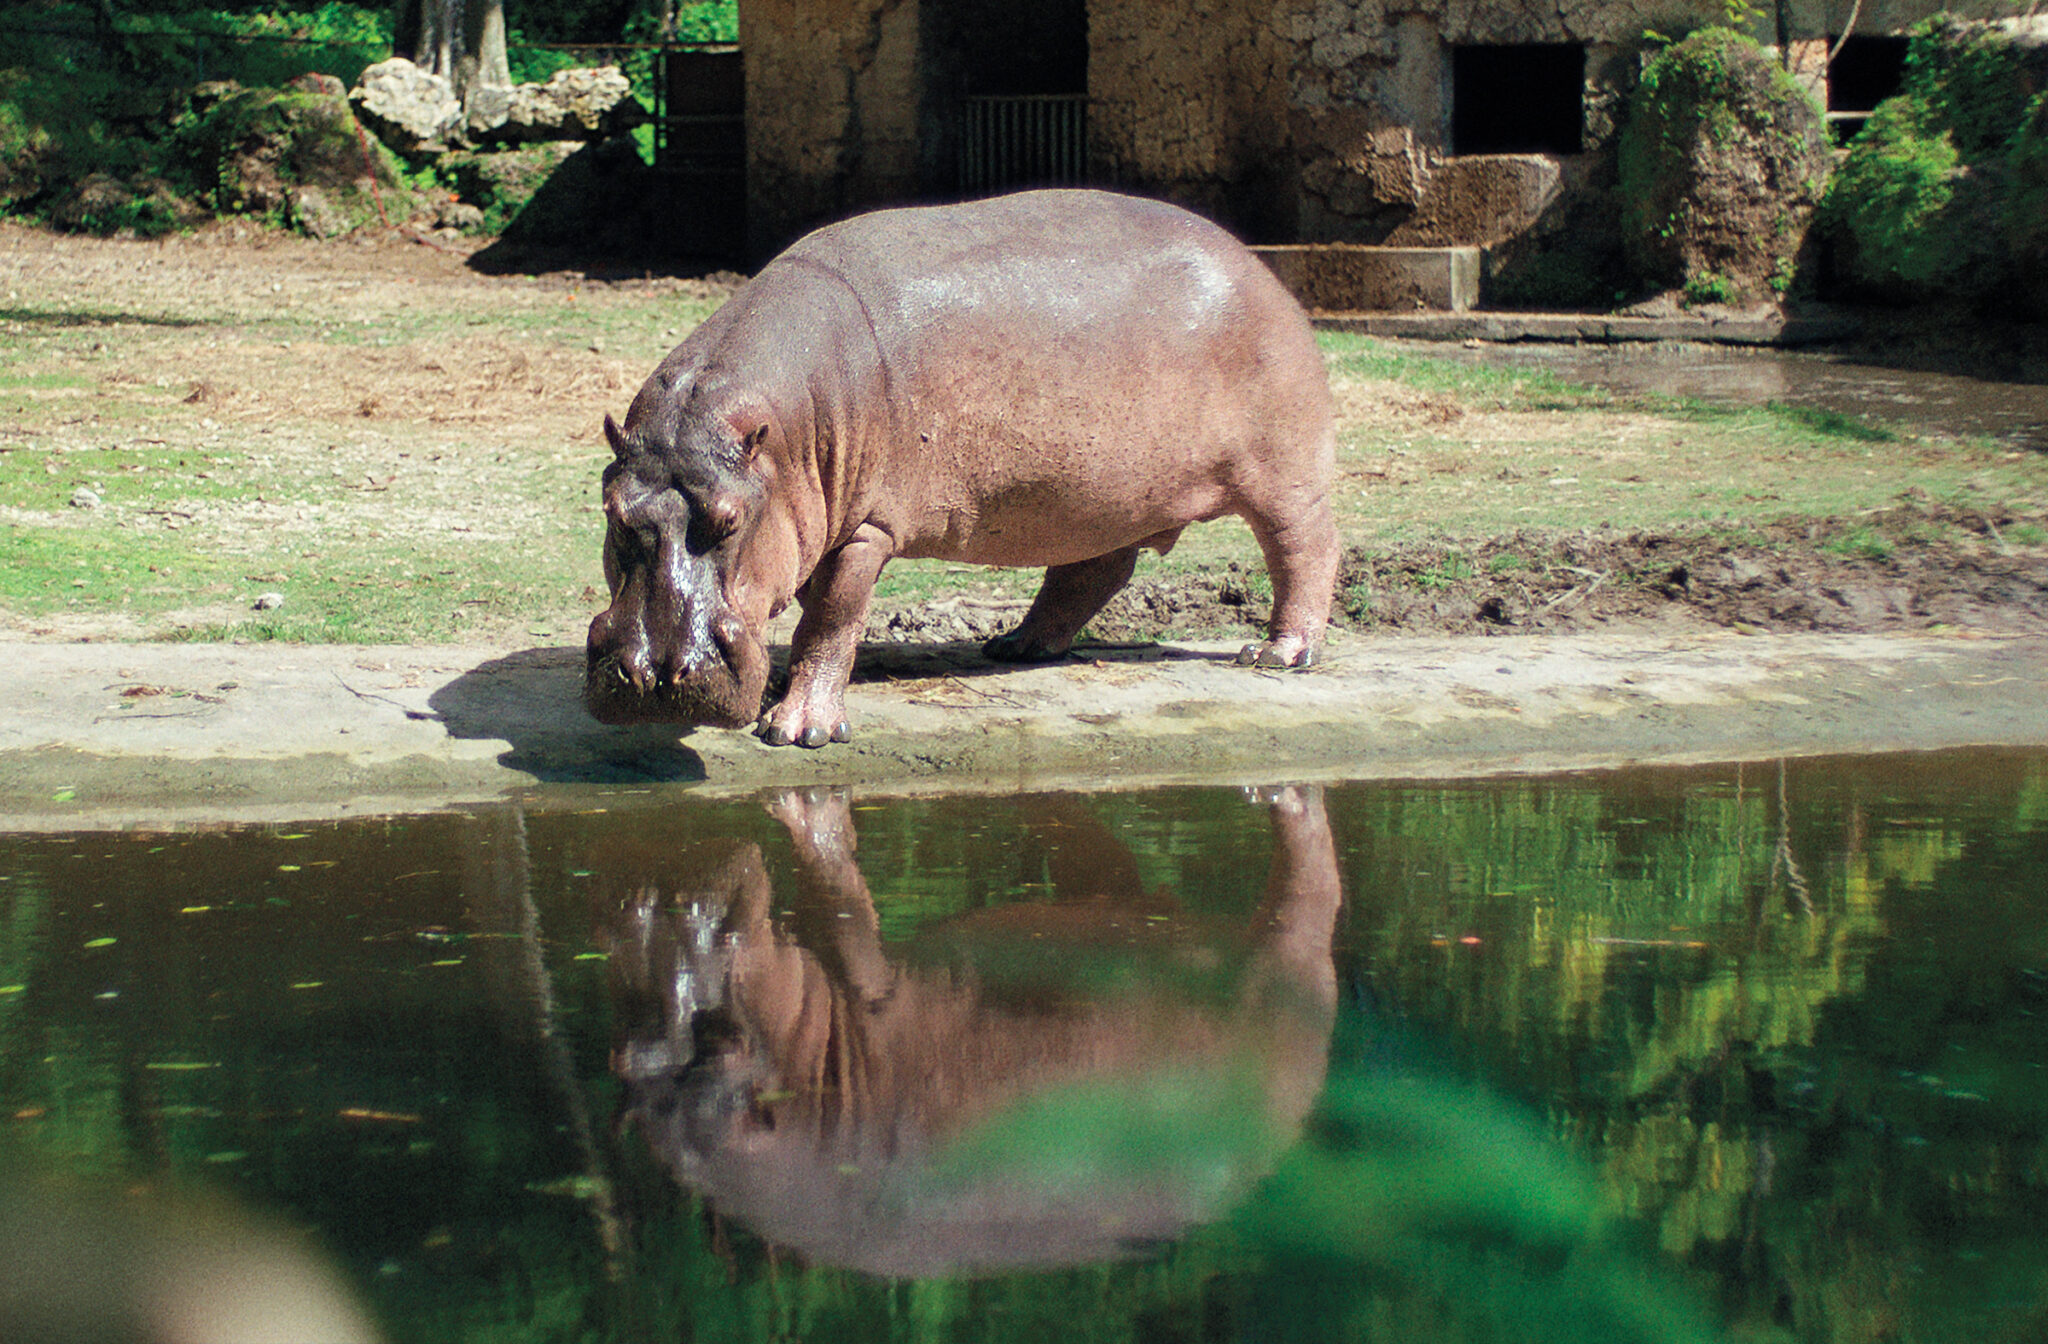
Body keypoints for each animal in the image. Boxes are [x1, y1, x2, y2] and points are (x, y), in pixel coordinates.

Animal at [585, 188, 1339, 746]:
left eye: (731, 520)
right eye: (611, 512)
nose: (656, 677)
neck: (774, 438)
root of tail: (1257, 265)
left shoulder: (865, 530)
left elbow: (830, 621)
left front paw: (798, 730)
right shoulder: (814, 527)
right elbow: (807, 617)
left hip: (1282, 474)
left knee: (1304, 549)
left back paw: (1276, 655)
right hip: (1095, 497)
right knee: (1094, 569)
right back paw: (1015, 646)